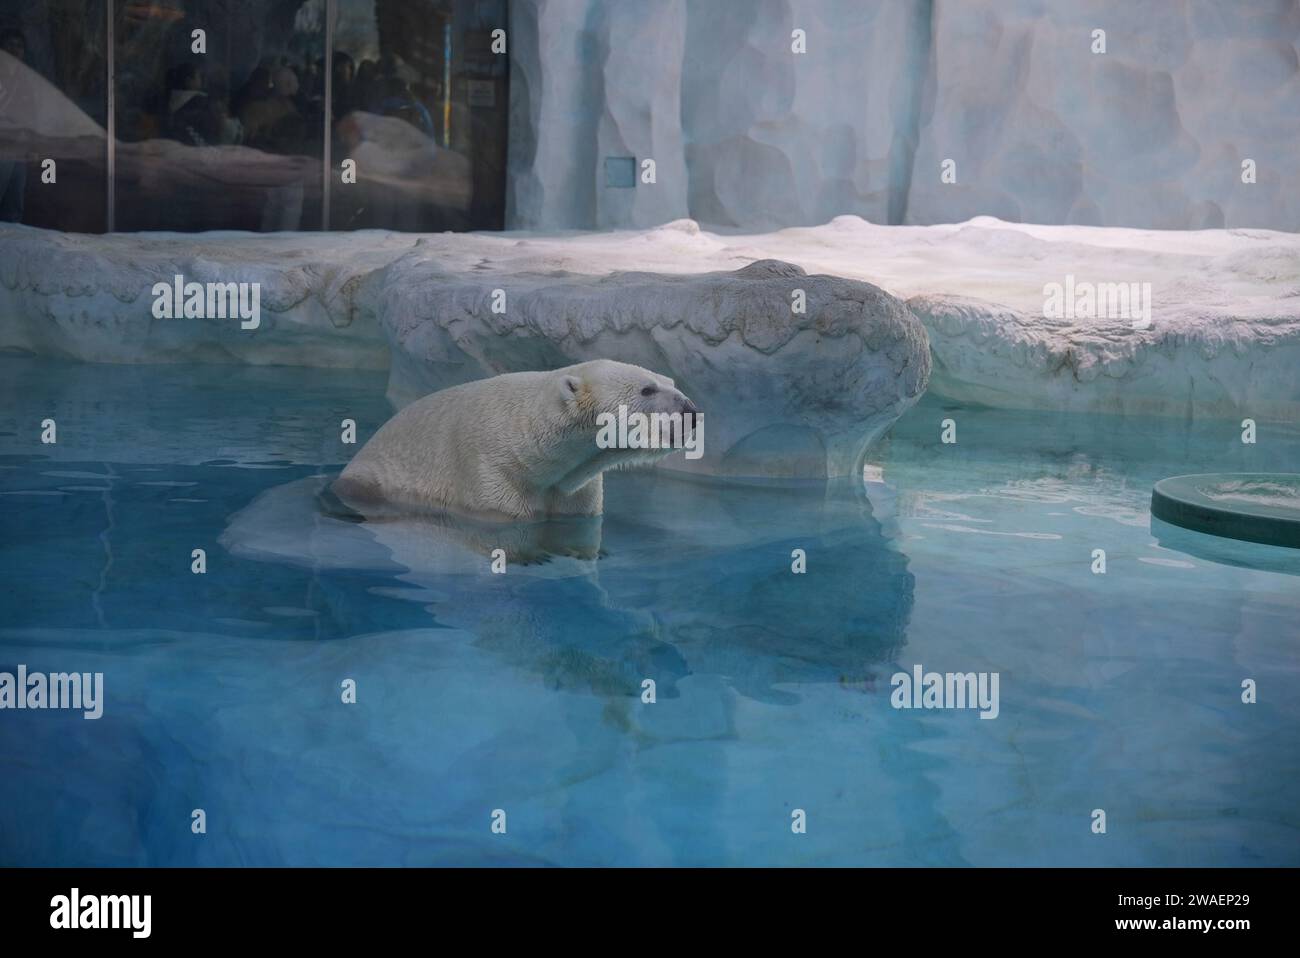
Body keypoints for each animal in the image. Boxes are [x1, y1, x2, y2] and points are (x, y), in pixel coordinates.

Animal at [332, 360, 701, 521]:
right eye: (647, 389)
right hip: (369, 481)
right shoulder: (488, 472)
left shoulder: (576, 488)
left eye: (670, 381)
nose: (690, 412)